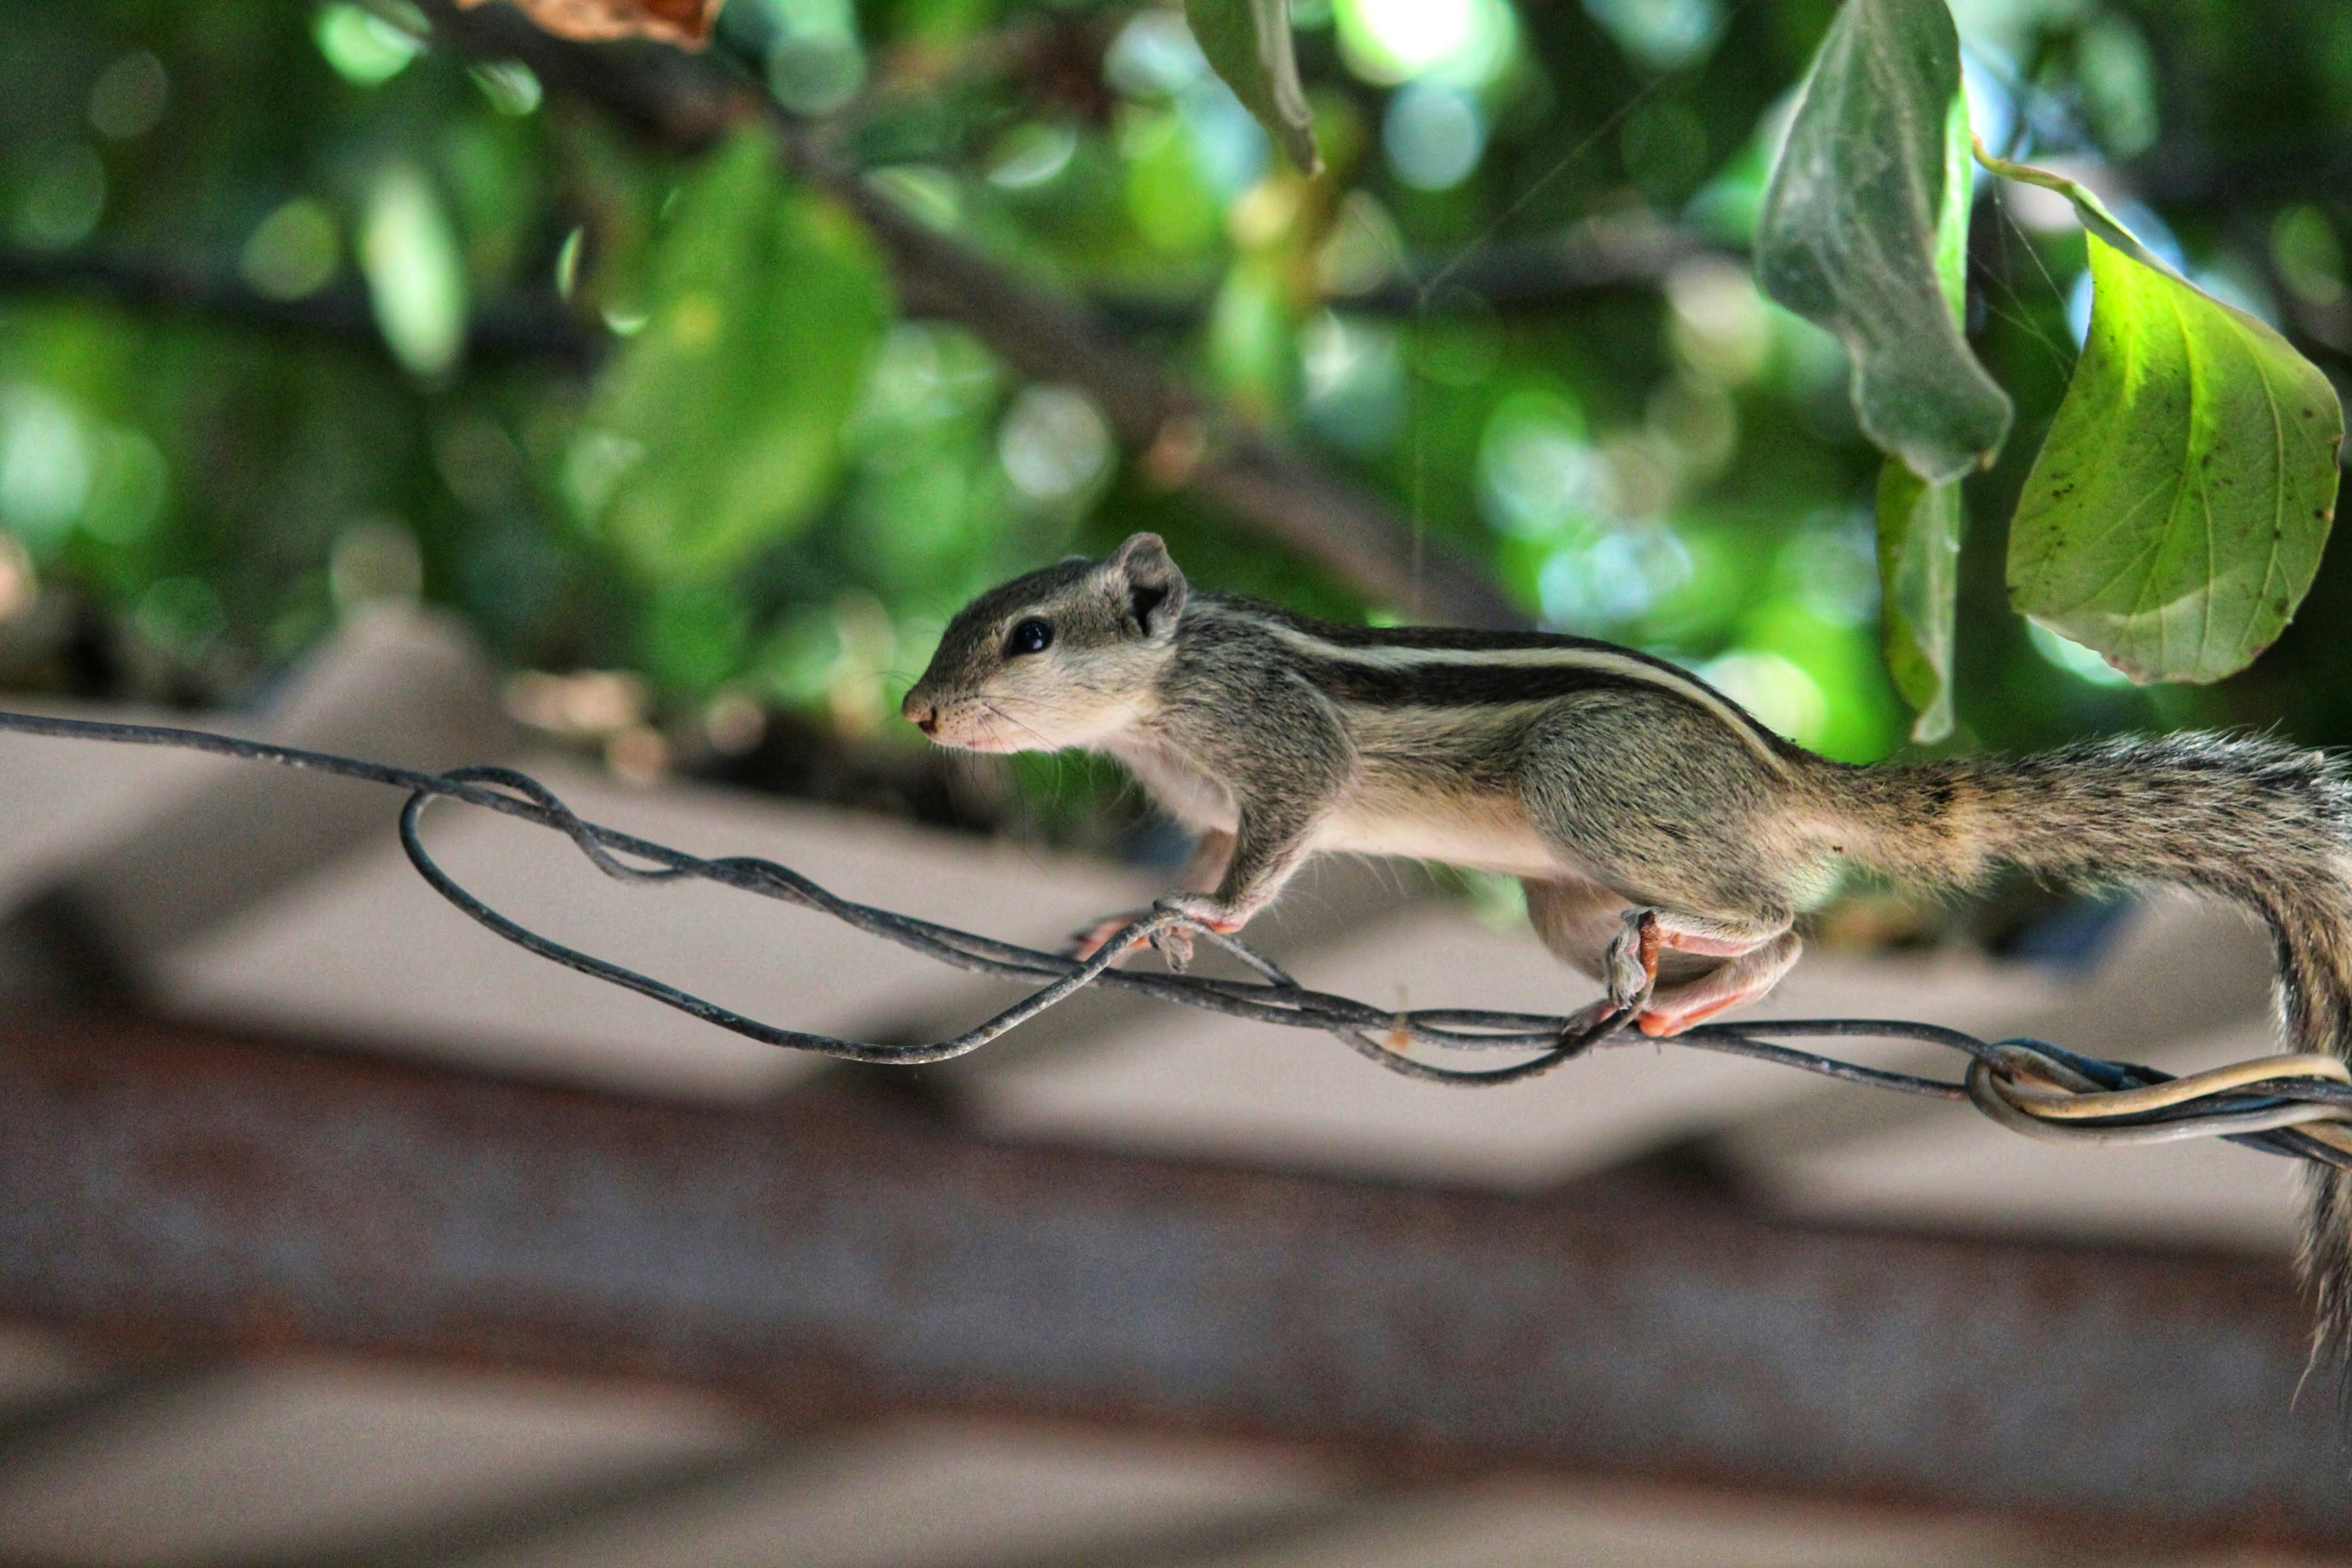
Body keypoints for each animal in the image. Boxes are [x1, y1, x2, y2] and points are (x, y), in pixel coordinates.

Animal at [904, 532, 2352, 1364]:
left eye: (1029, 635)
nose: (917, 712)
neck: (1160, 687)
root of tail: (1782, 775)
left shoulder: (1282, 755)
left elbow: (1263, 862)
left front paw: (1197, 922)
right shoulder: (1211, 805)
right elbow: (1215, 854)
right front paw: (1125, 920)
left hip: (1583, 787)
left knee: (1783, 917)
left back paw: (1697, 961)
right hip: (1564, 895)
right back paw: (1666, 998)